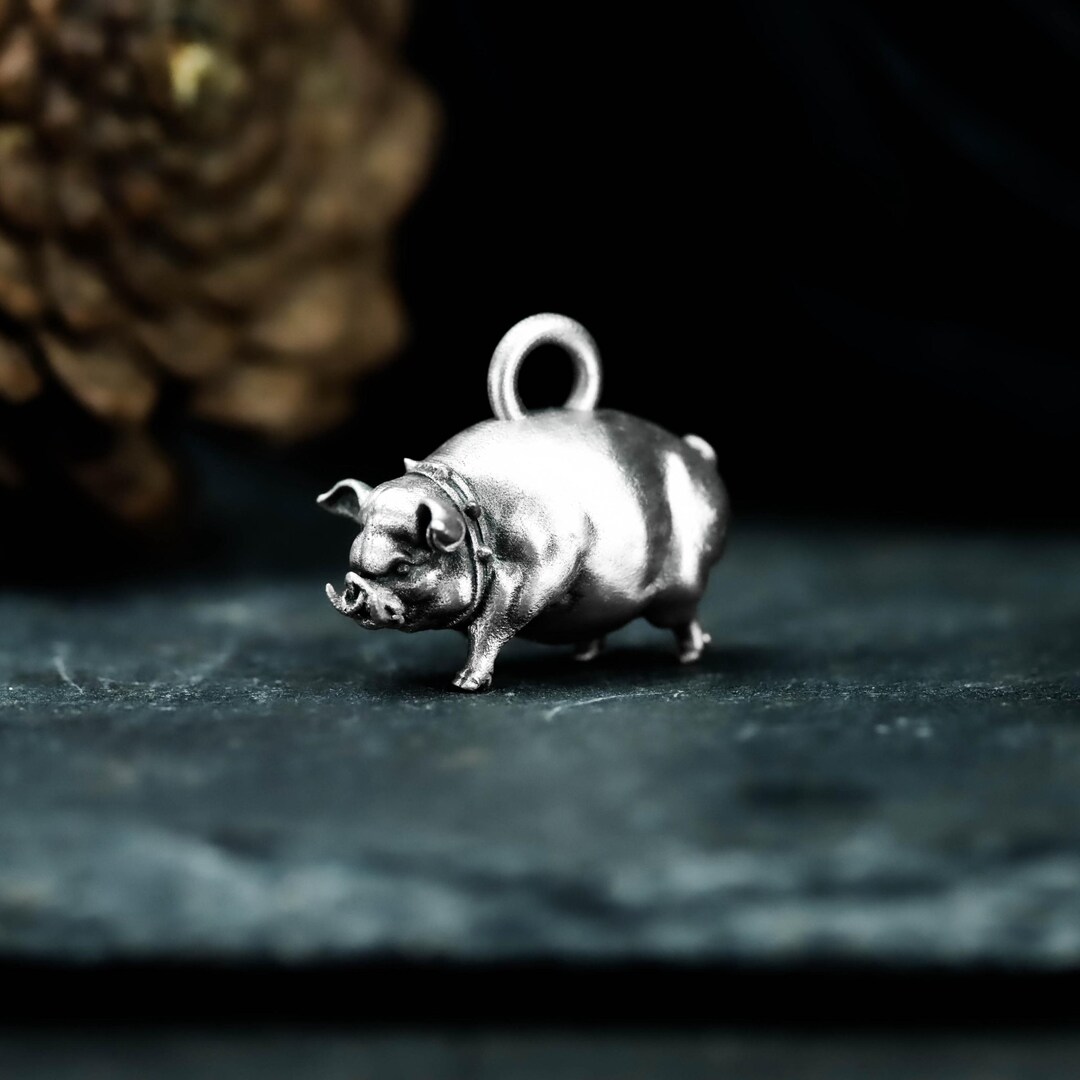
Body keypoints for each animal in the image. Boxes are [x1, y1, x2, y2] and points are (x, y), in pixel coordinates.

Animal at [319, 407, 728, 691]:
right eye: (354, 558)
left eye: (403, 568)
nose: (356, 590)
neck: (473, 520)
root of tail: (701, 456)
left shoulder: (546, 563)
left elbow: (492, 625)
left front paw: (463, 685)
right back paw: (584, 656)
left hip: (680, 587)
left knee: (683, 619)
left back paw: (691, 655)